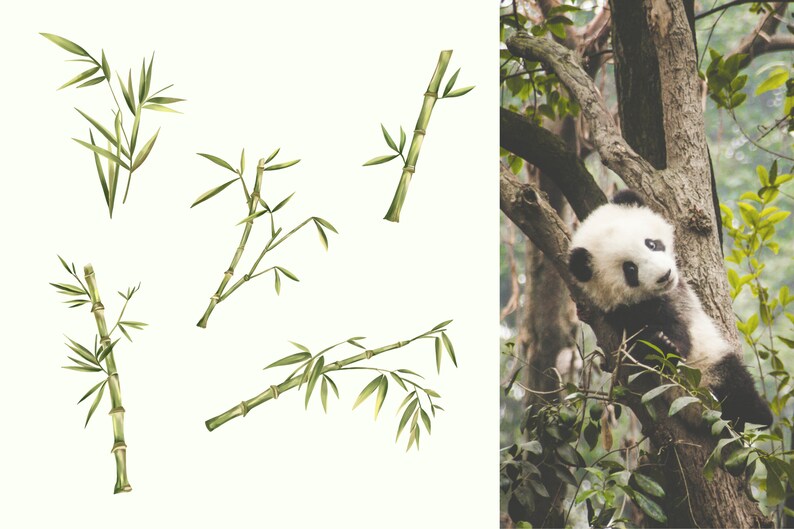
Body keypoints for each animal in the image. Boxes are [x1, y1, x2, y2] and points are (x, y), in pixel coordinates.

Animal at [568, 189, 772, 430]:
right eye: (630, 269)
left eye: (651, 244)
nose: (664, 275)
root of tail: (699, 409)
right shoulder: (624, 313)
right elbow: (651, 340)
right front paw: (662, 344)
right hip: (709, 369)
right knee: (737, 385)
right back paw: (760, 414)